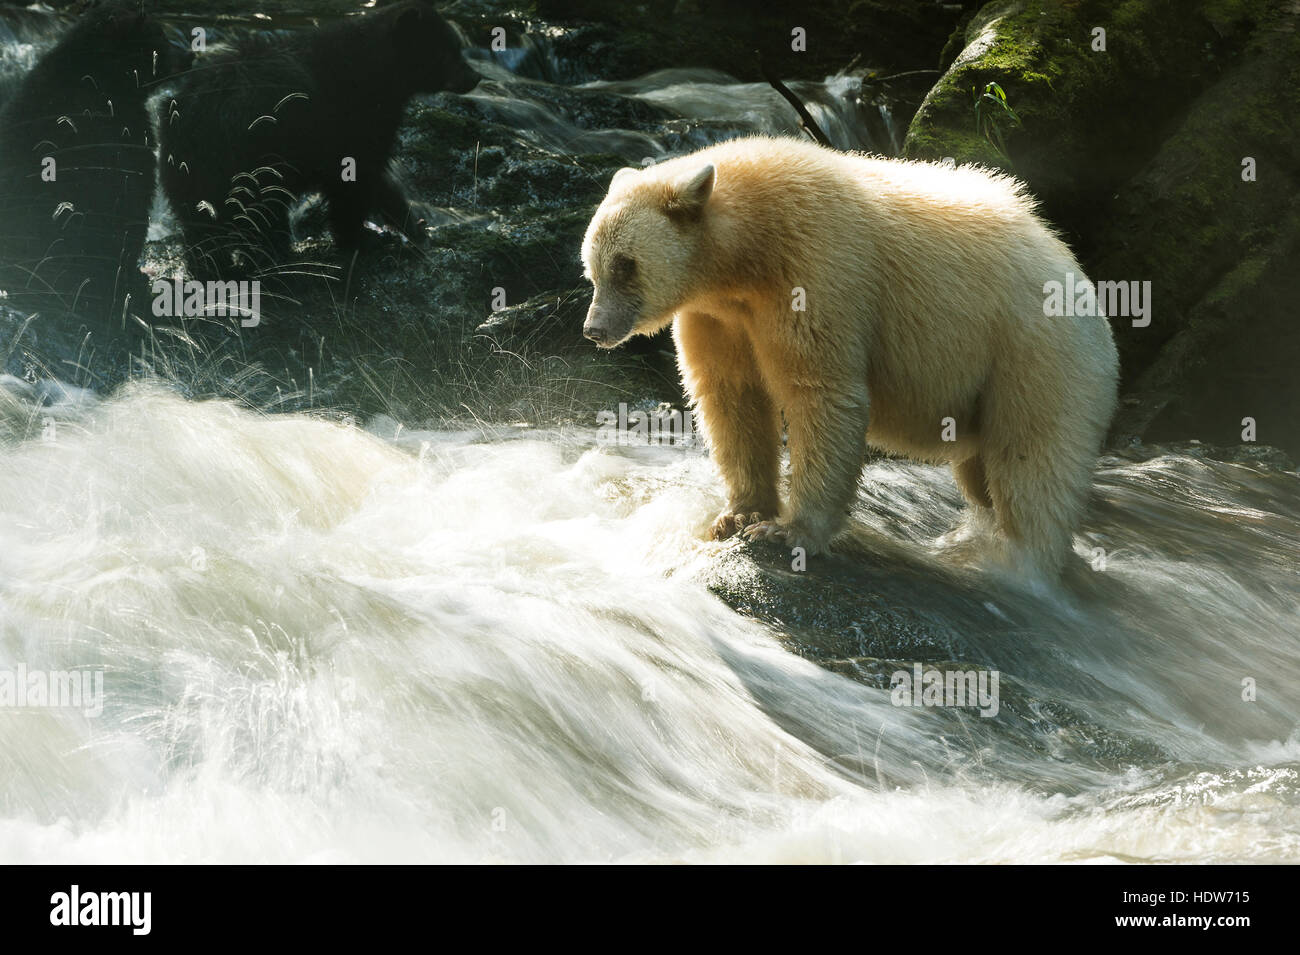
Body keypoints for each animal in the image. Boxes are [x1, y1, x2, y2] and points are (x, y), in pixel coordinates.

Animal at [157, 0, 478, 281]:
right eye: (448, 52)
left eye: (457, 46)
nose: (475, 76)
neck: (378, 73)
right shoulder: (350, 119)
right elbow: (355, 179)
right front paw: (365, 237)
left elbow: (375, 178)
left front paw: (414, 226)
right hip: (256, 160)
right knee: (260, 214)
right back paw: (271, 260)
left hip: (187, 170)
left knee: (199, 224)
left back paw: (213, 267)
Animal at [580, 135, 1119, 576]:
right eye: (591, 268)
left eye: (625, 265)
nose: (594, 329)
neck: (750, 248)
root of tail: (1086, 288)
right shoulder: (718, 314)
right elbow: (730, 396)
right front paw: (739, 514)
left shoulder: (818, 268)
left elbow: (822, 391)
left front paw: (789, 531)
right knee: (982, 474)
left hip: (1034, 355)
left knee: (1032, 462)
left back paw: (1027, 564)